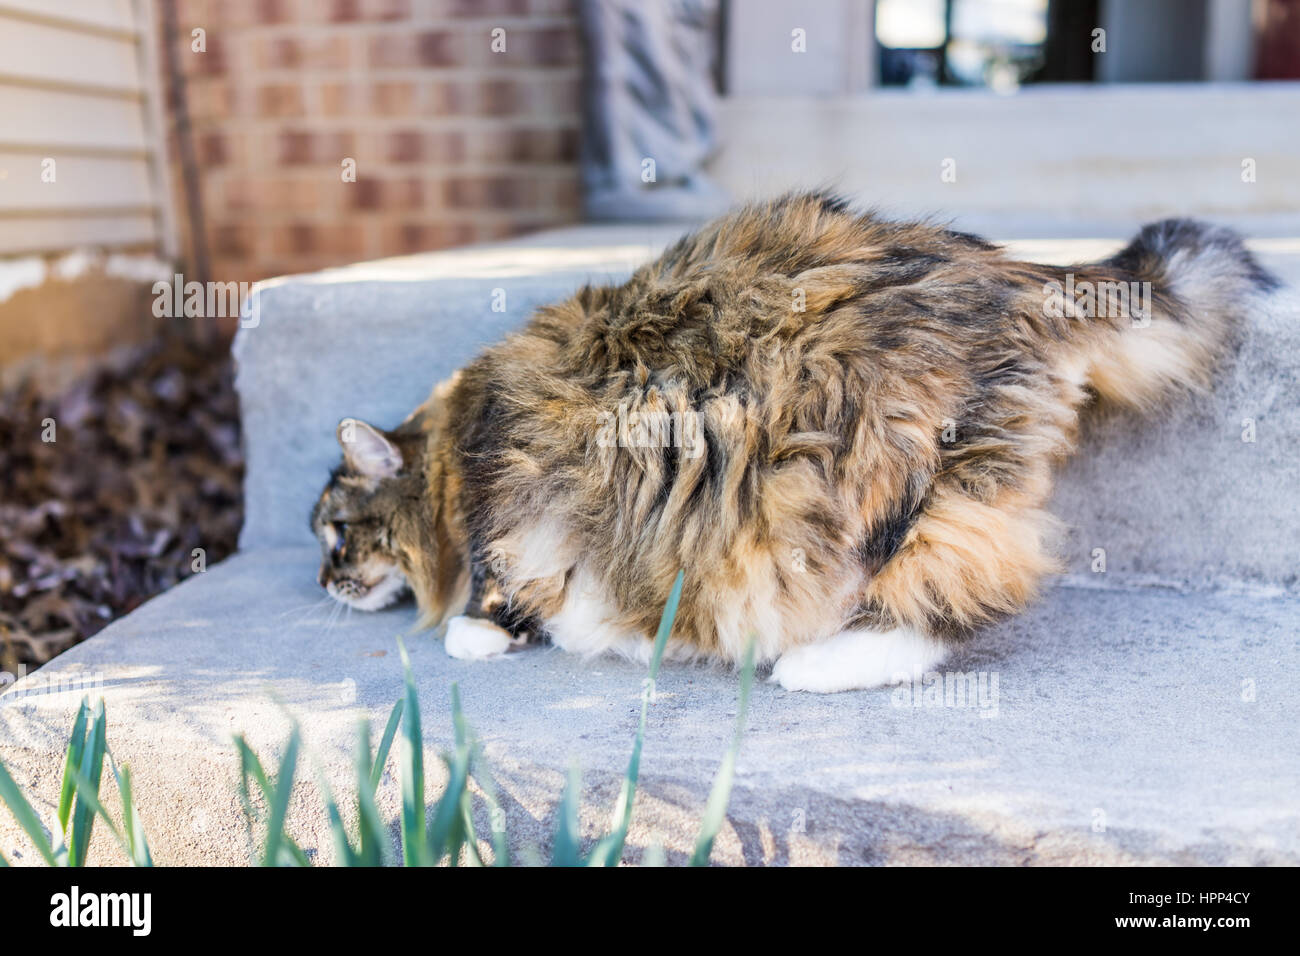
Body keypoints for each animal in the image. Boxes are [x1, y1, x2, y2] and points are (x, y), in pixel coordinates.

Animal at [312, 191, 1268, 691]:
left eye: (333, 533)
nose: (321, 582)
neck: (451, 444)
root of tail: (1016, 269)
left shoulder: (501, 495)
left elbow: (492, 584)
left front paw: (478, 630)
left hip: (888, 487)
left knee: (948, 610)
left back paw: (811, 664)